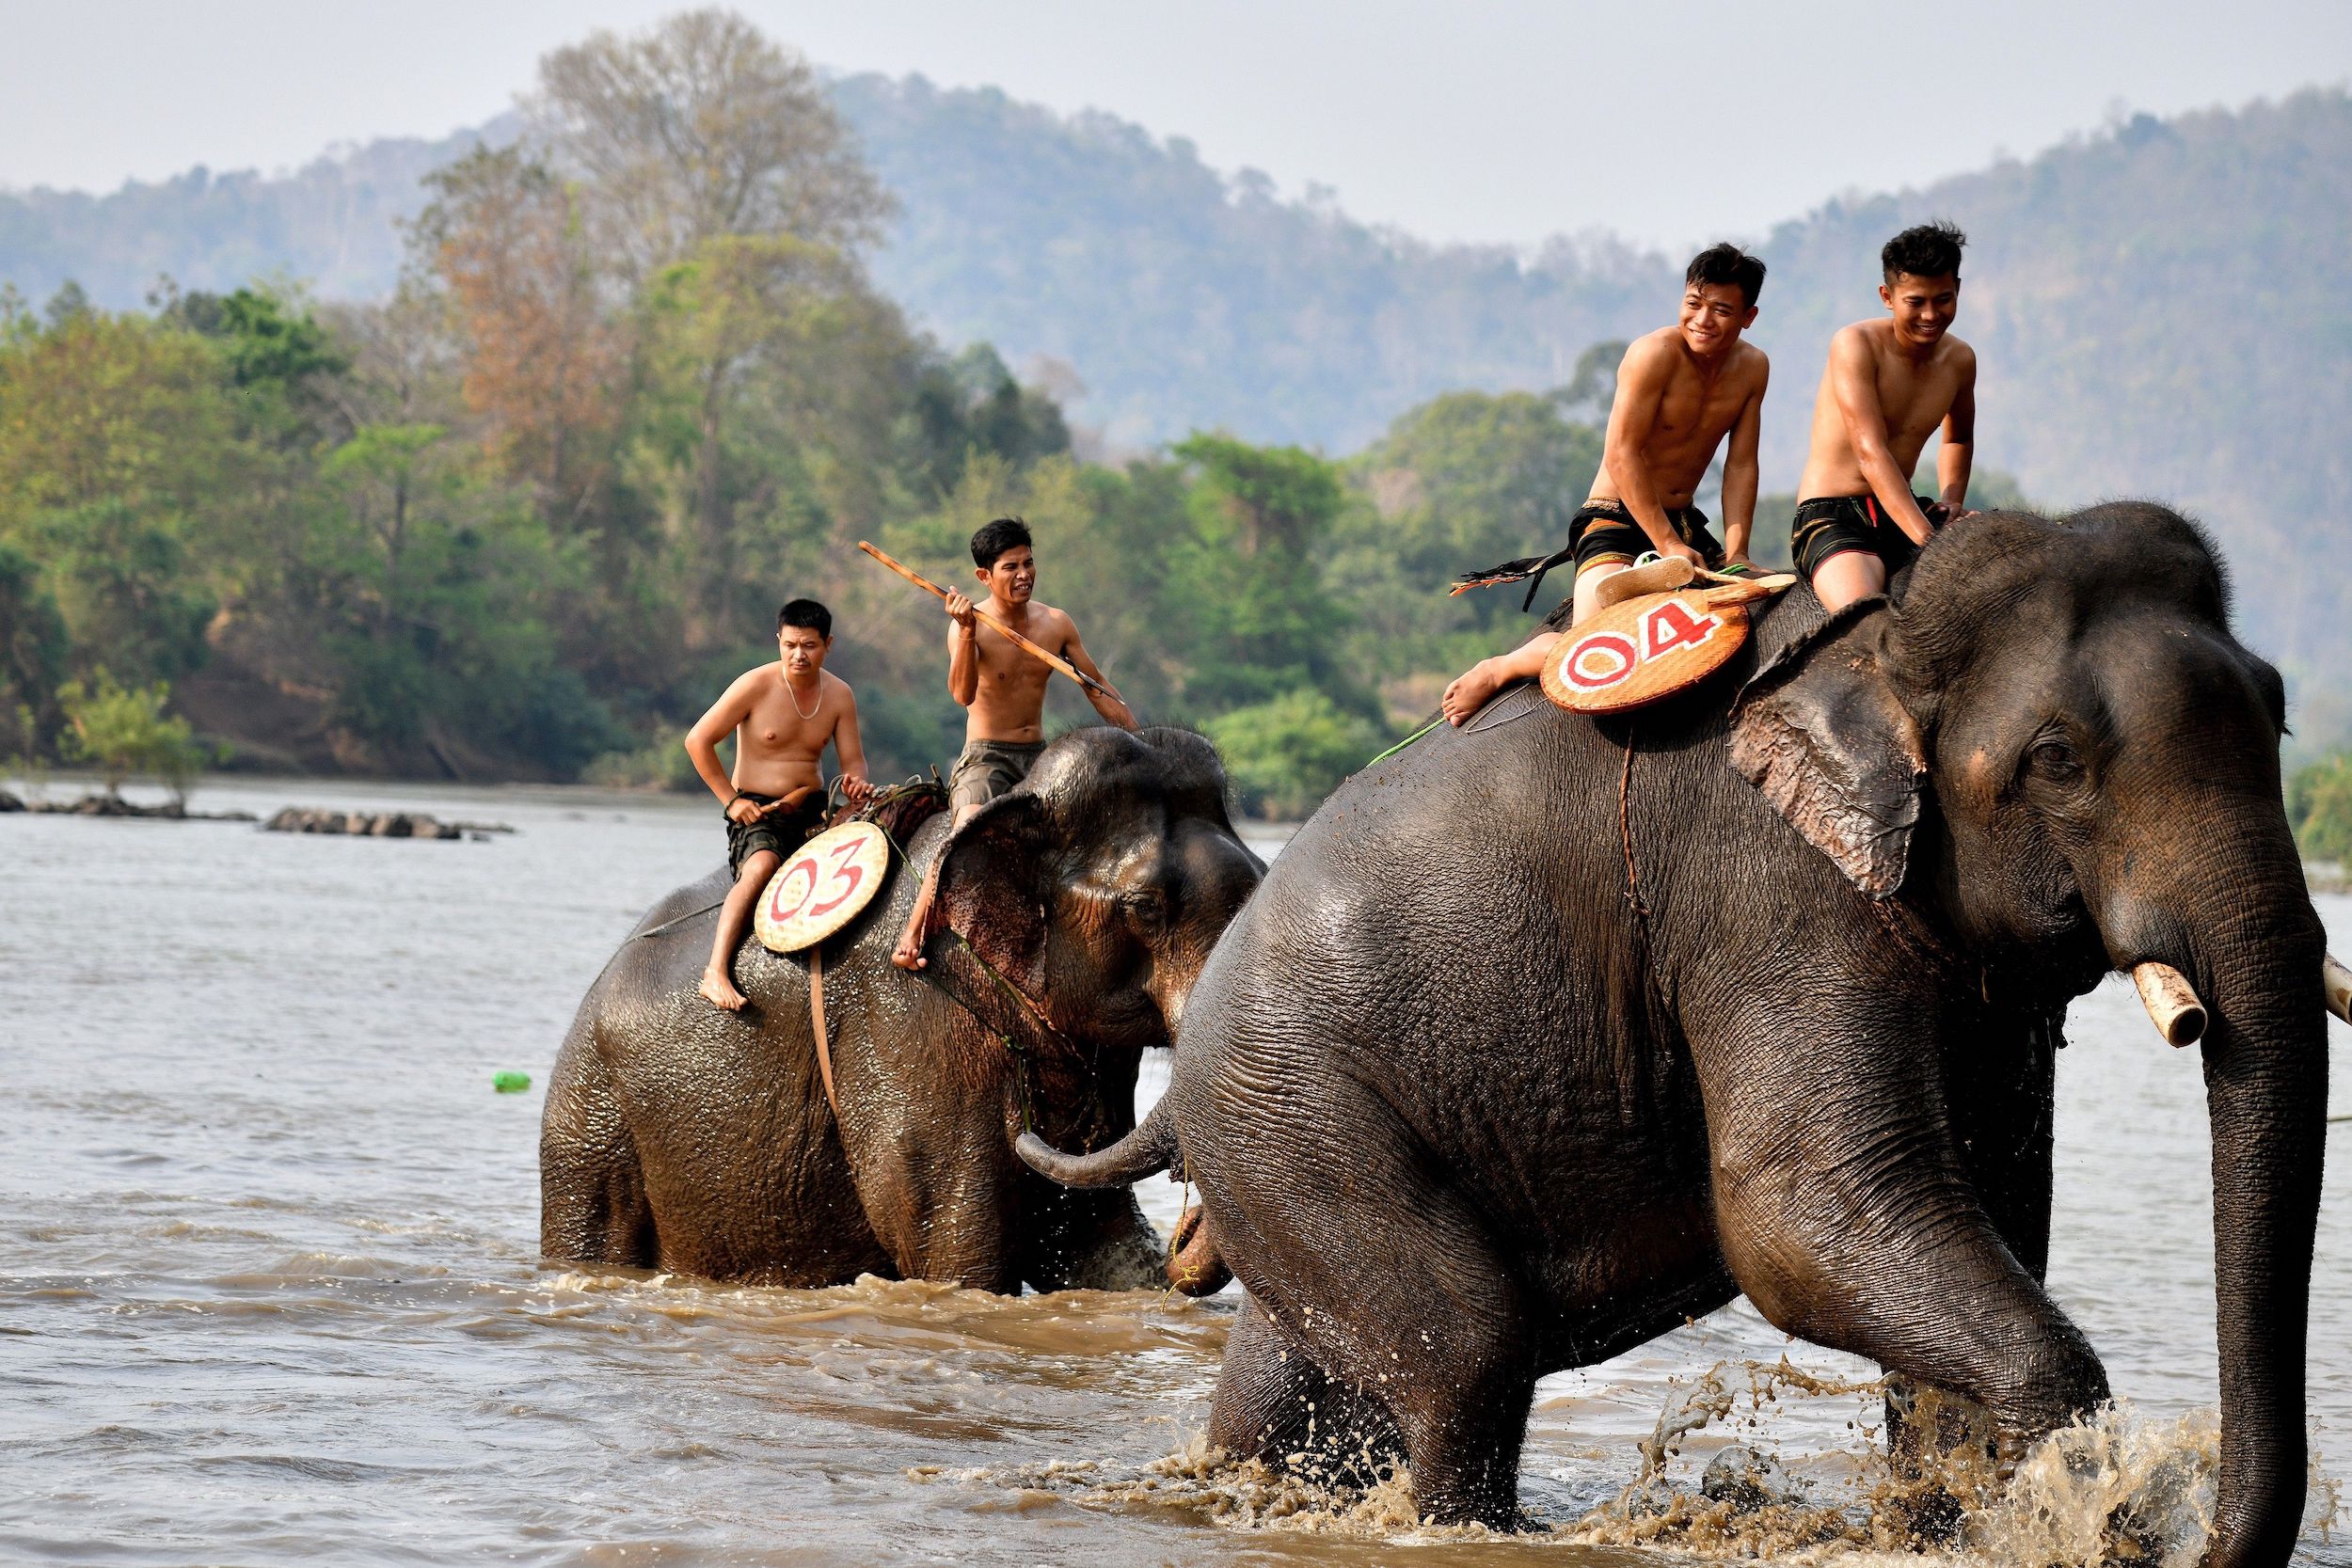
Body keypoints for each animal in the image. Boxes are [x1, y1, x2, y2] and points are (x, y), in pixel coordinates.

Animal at [541, 725, 1263, 1293]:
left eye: (1260, 880)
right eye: (1147, 907)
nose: (1182, 1225)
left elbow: (1099, 1248)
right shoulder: (909, 1025)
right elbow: (953, 1255)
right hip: (590, 1129)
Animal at [1019, 507, 2332, 1566]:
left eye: (2278, 715)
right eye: (2058, 761)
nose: (2193, 1544)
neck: (1885, 627)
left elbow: (1993, 1200)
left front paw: (1959, 1519)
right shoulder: (1771, 892)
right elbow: (1800, 1212)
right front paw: (2082, 1503)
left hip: (1272, 1140)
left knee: (1299, 1364)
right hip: (1291, 1107)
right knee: (1468, 1350)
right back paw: (1453, 1525)